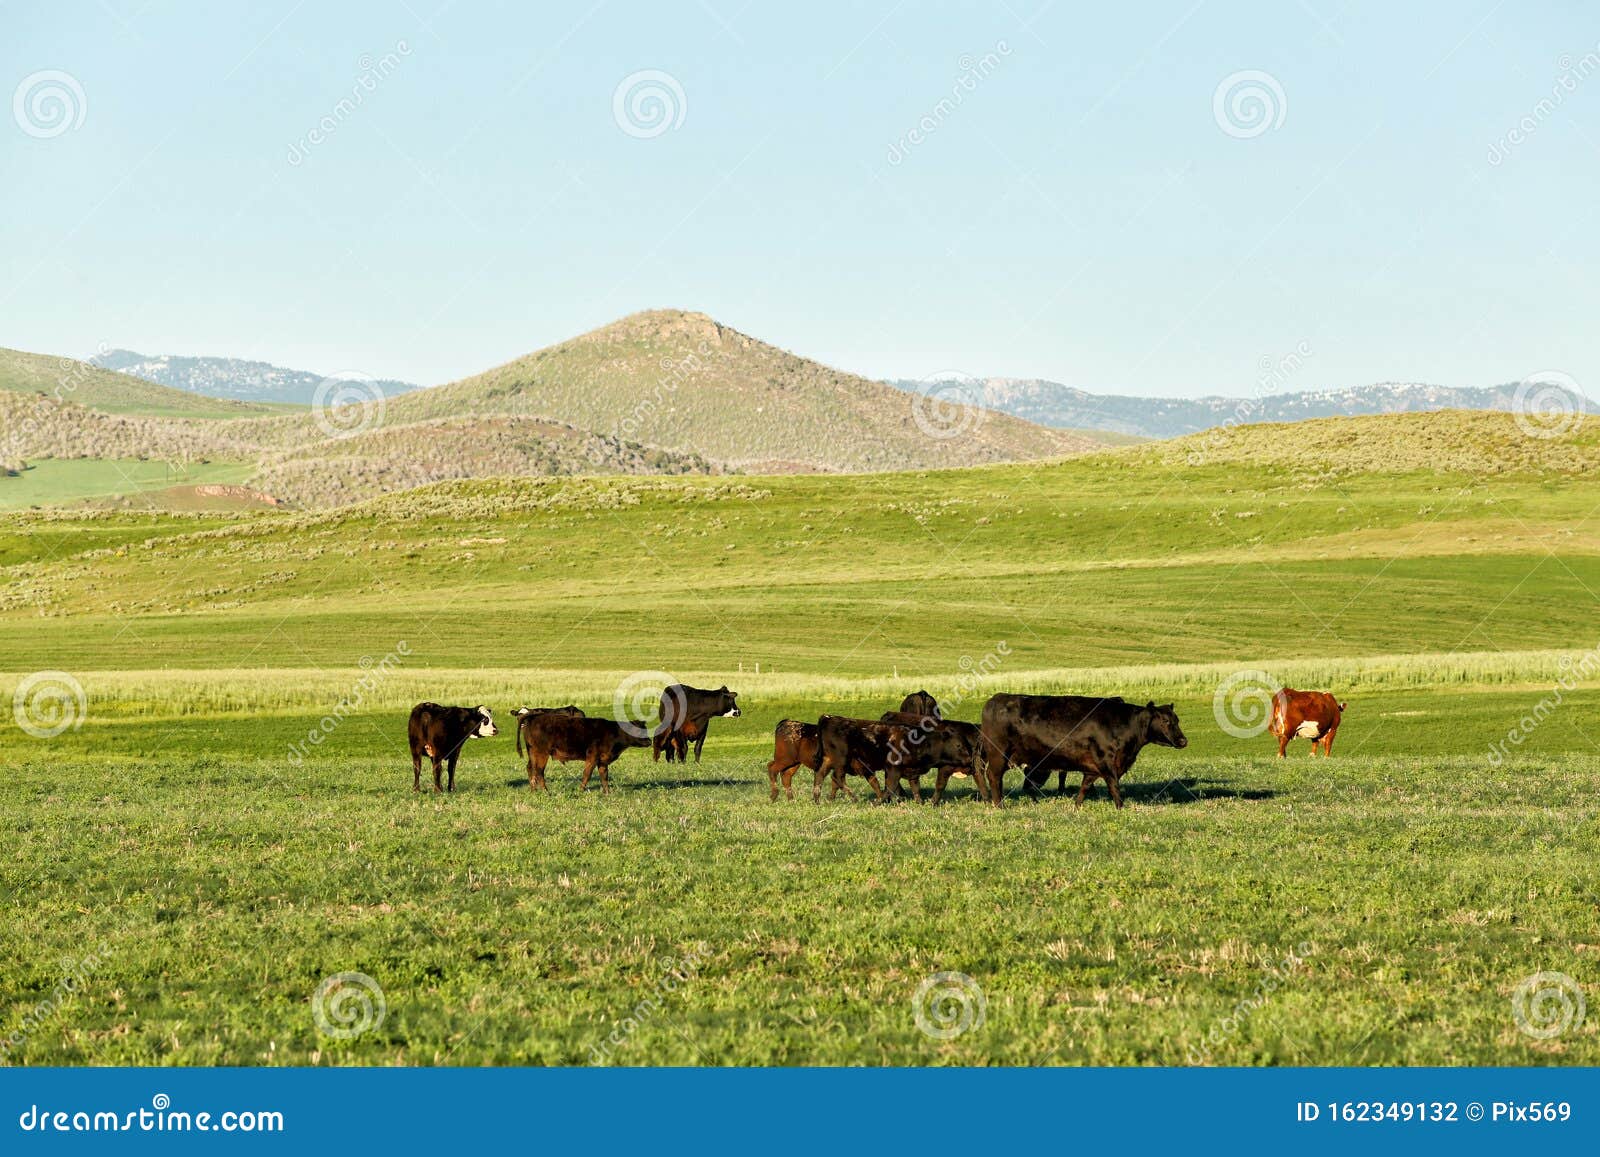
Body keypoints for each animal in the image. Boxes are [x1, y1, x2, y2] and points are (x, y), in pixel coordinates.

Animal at [517, 712, 651, 793]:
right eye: (638, 730)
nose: (650, 741)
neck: (614, 732)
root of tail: (534, 716)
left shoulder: (602, 760)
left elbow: (604, 776)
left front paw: (608, 792)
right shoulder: (592, 757)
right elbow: (587, 774)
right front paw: (581, 790)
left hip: (532, 752)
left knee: (531, 768)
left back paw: (533, 790)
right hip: (542, 753)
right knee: (539, 771)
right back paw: (546, 791)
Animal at [979, 694, 1188, 807]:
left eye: (1177, 720)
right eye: (1165, 721)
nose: (1183, 740)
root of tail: (995, 699)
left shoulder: (1093, 766)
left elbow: (1085, 786)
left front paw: (1077, 806)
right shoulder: (1107, 761)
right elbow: (1114, 786)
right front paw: (1121, 807)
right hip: (998, 755)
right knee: (994, 777)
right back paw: (999, 805)